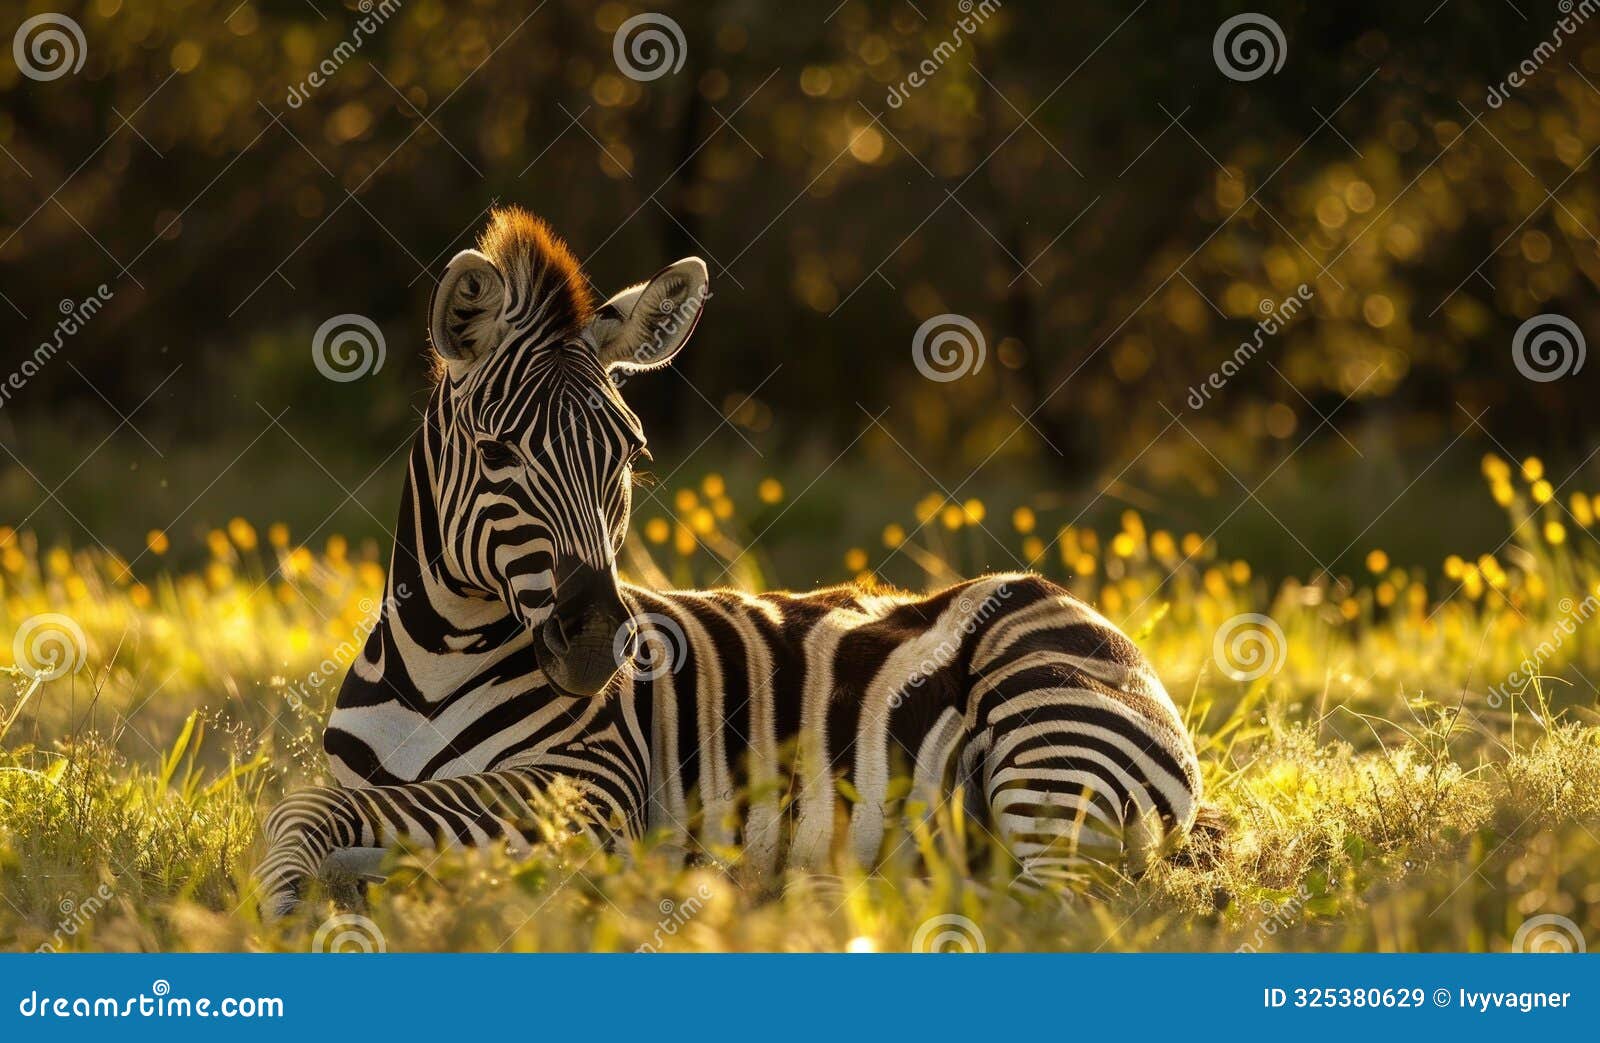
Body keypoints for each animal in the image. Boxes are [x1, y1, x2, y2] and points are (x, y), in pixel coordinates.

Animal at [256, 206, 1207, 917]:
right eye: (496, 454)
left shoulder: (591, 780)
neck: (435, 658)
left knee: (1051, 914)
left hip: (1048, 736)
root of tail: (1092, 616)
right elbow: (352, 824)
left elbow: (309, 808)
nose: (599, 648)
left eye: (630, 456)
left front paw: (282, 907)